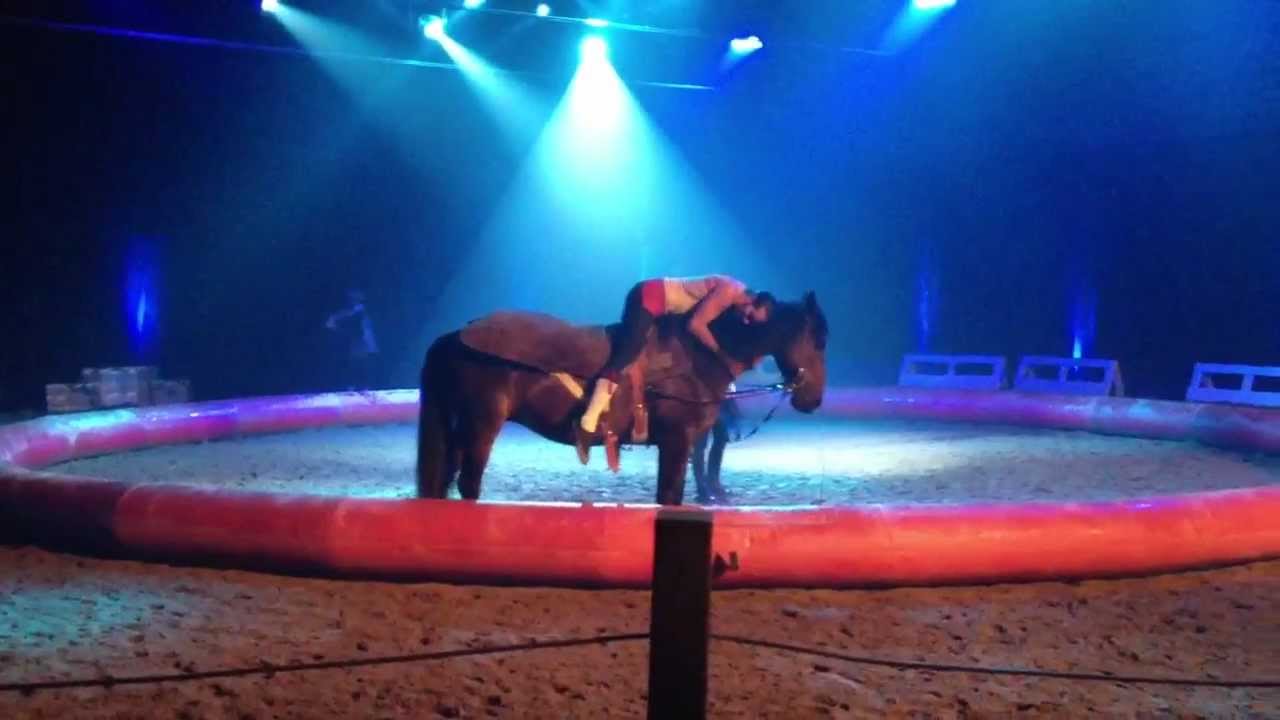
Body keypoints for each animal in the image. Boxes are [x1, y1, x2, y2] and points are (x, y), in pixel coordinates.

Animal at [415, 292, 828, 506]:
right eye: (818, 340)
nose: (813, 399)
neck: (700, 356)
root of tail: (454, 337)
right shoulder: (676, 441)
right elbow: (670, 495)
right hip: (482, 424)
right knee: (468, 483)